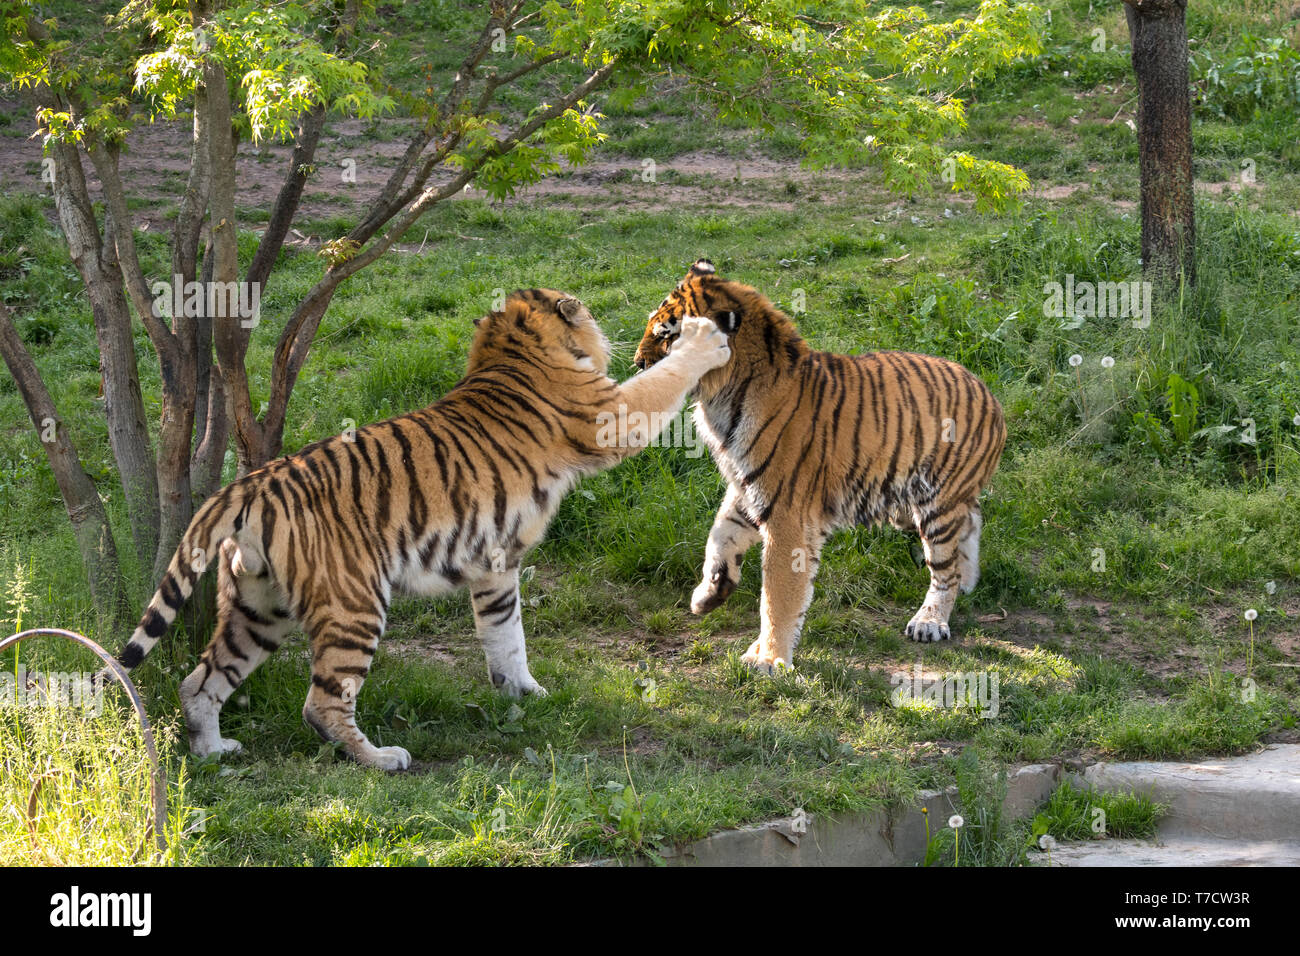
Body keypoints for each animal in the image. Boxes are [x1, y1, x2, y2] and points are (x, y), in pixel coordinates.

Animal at [111, 290, 730, 770]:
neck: (510, 346)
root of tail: (250, 485)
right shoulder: (612, 415)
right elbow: (663, 379)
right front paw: (703, 342)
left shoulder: (495, 566)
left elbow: (506, 636)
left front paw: (527, 694)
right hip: (353, 603)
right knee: (322, 703)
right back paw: (381, 758)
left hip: (258, 608)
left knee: (198, 682)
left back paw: (214, 751)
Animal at [632, 260, 1005, 673]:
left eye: (667, 337)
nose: (637, 364)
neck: (721, 394)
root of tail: (987, 391)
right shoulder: (748, 490)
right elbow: (720, 537)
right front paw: (708, 595)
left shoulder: (787, 513)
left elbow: (777, 595)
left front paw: (769, 659)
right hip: (907, 503)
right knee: (970, 521)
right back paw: (968, 580)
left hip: (932, 504)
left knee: (945, 568)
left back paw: (931, 620)